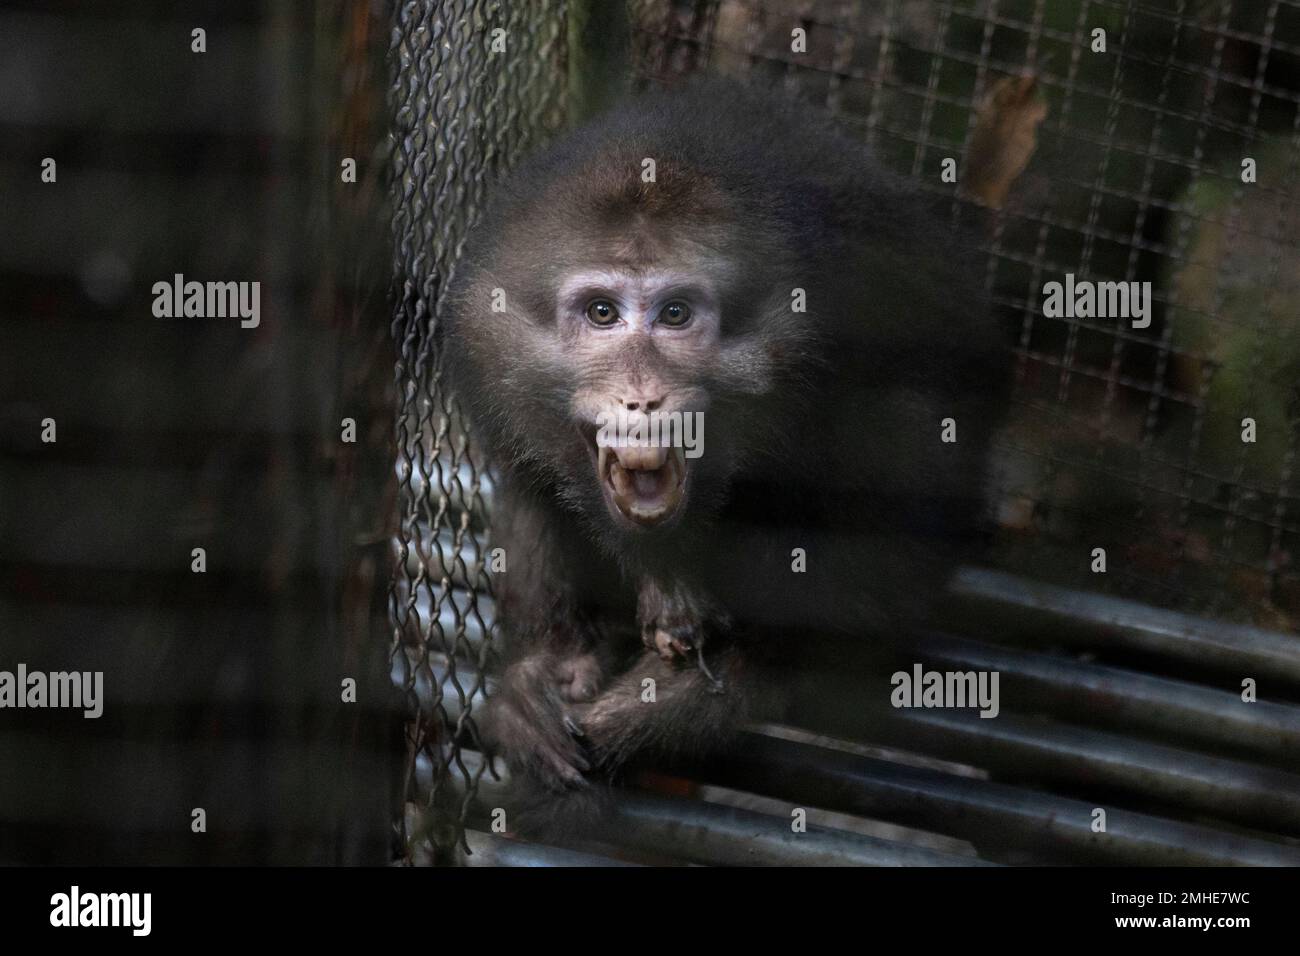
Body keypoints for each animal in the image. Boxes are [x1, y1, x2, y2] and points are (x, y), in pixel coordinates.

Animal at [440, 79, 1008, 827]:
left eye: (676, 315)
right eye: (601, 314)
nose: (642, 398)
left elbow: (897, 535)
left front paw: (658, 708)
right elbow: (527, 476)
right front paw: (552, 670)